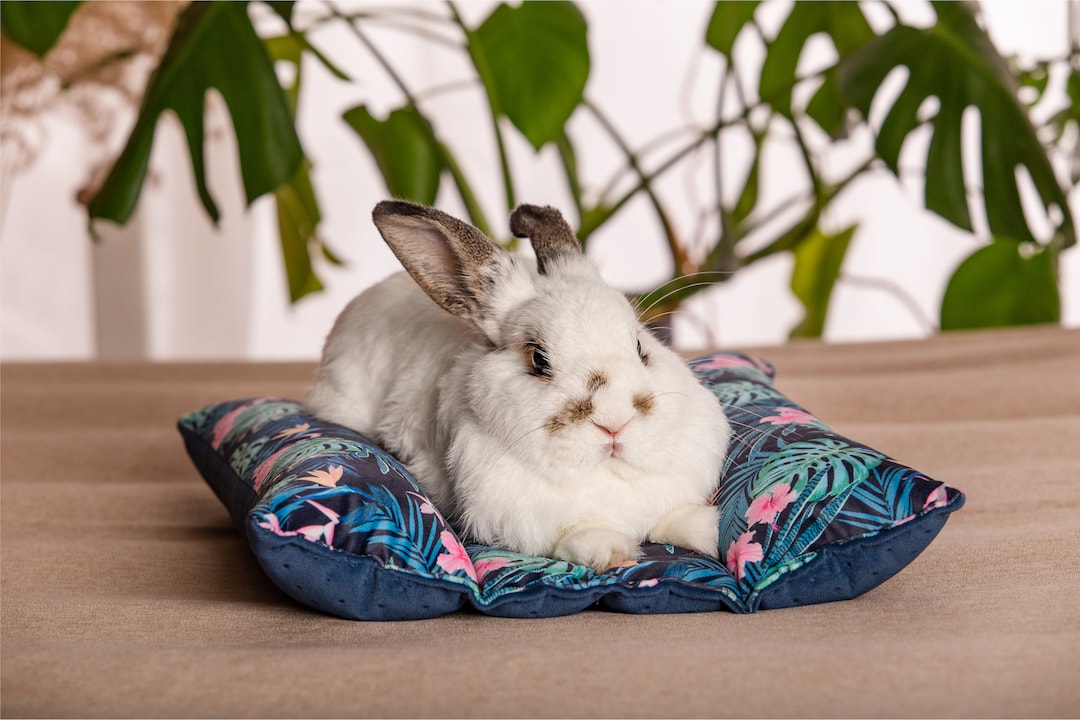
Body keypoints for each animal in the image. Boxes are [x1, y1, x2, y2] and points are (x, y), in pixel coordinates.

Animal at [305, 200, 730, 571]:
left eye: (641, 347)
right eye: (538, 359)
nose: (615, 420)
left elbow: (673, 516)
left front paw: (707, 531)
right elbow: (575, 534)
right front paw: (609, 551)